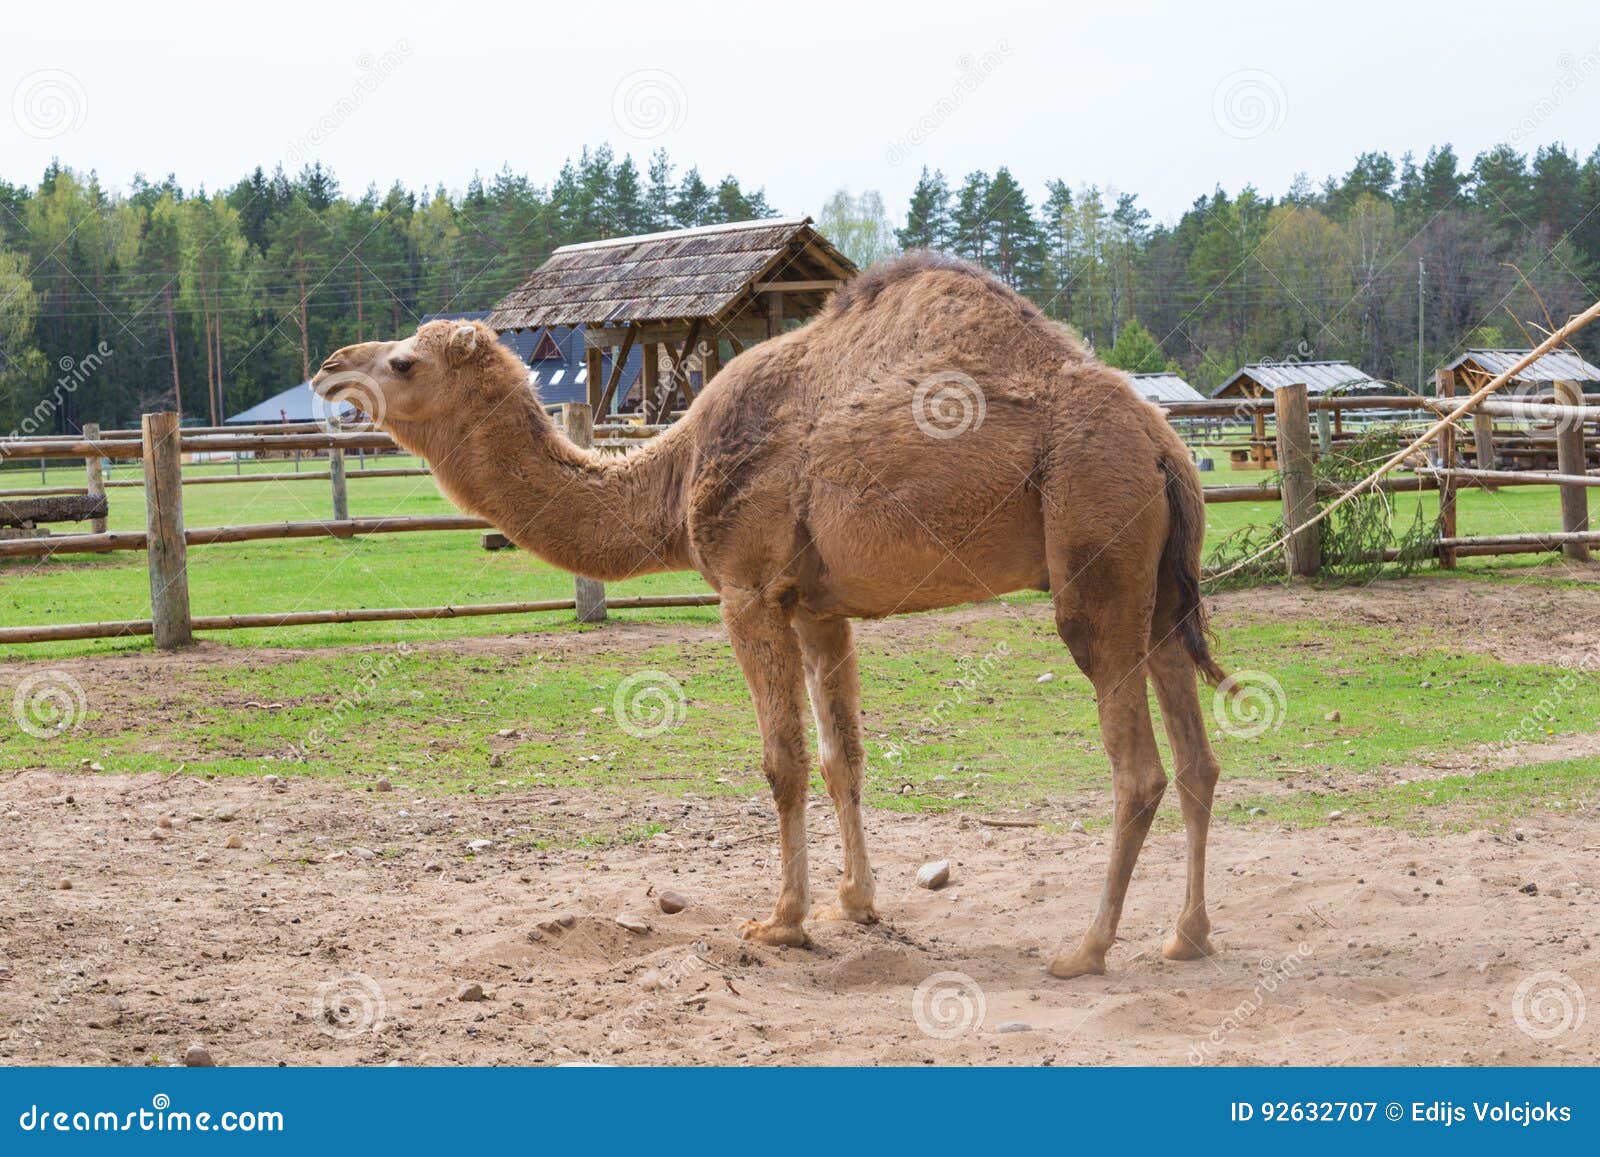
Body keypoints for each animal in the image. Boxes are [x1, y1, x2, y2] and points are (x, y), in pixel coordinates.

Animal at [312, 252, 1227, 979]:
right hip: (1158, 588)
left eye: (402, 361)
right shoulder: (820, 605)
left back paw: (1086, 949)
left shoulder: (747, 588)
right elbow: (841, 755)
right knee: (1198, 759)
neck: (675, 474)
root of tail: (1164, 444)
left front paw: (780, 921)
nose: (327, 368)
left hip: (1095, 555)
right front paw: (853, 904)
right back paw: (1186, 937)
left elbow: (782, 762)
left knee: (1137, 767)